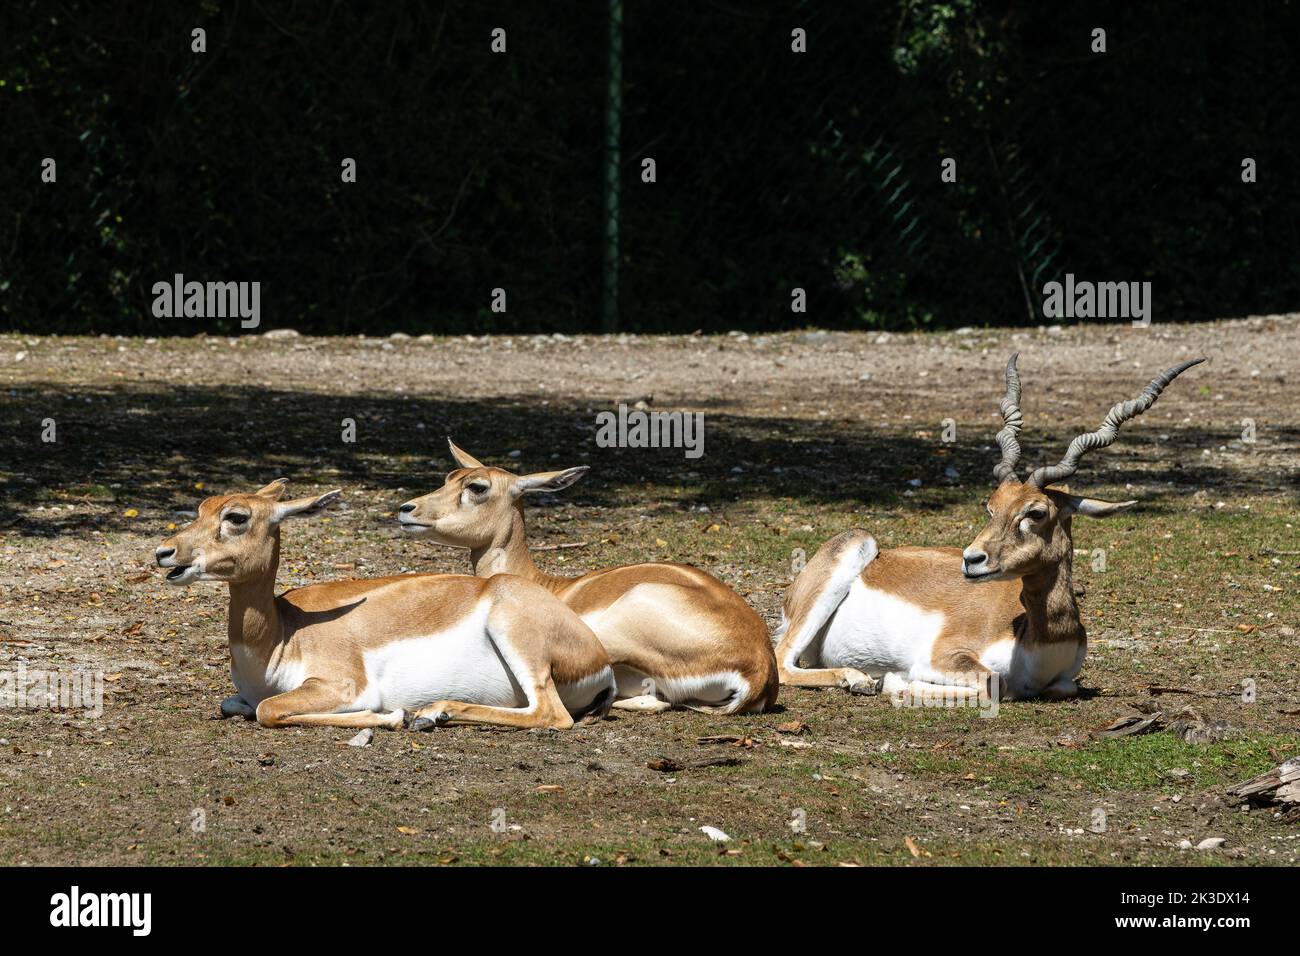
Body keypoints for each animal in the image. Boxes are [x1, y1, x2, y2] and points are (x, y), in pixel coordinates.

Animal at [153, 480, 616, 731]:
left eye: (236, 516)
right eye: (201, 508)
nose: (164, 553)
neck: (280, 637)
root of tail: (601, 663)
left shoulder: (342, 684)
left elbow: (269, 709)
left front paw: (390, 716)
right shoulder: (243, 697)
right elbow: (234, 704)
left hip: (519, 639)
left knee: (551, 714)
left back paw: (431, 712)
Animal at [775, 354, 1204, 702]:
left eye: (1035, 512)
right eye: (991, 507)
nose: (972, 560)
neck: (1037, 641)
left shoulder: (1064, 681)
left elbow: (1061, 687)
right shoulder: (943, 656)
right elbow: (992, 683)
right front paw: (895, 682)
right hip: (853, 551)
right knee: (782, 661)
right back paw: (859, 678)